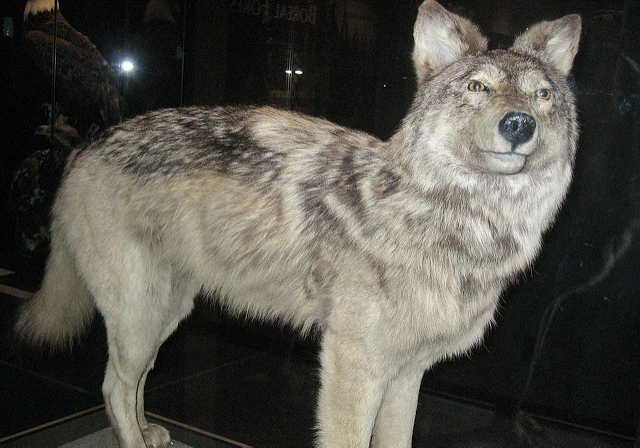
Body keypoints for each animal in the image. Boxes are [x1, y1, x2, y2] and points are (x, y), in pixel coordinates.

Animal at [14, 1, 581, 447]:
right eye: (478, 87)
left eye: (543, 96)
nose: (519, 124)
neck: (462, 222)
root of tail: (85, 148)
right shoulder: (353, 363)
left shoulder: (408, 371)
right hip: (141, 314)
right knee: (113, 386)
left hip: (166, 313)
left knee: (130, 385)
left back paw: (148, 431)